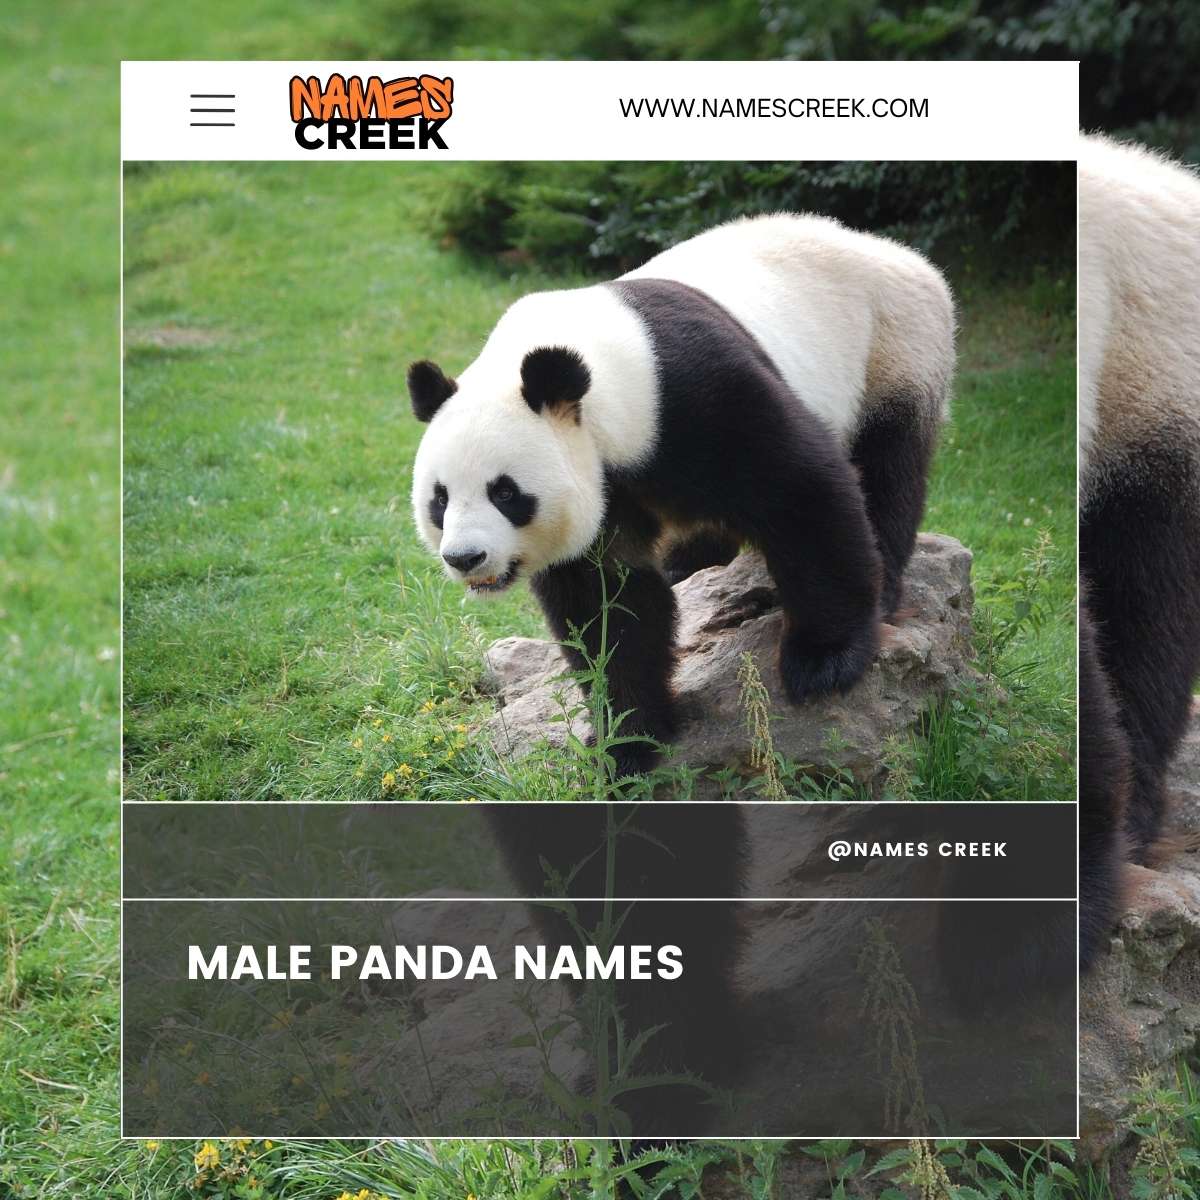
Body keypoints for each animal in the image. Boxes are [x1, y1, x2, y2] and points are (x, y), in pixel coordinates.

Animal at [405, 213, 953, 1133]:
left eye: (506, 491)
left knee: (883, 468)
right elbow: (608, 606)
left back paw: (880, 580)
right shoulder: (609, 495)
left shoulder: (695, 398)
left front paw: (823, 658)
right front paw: (630, 736)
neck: (587, 378)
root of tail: (893, 251)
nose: (466, 559)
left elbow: (801, 487)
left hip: (893, 350)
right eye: (441, 497)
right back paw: (702, 565)